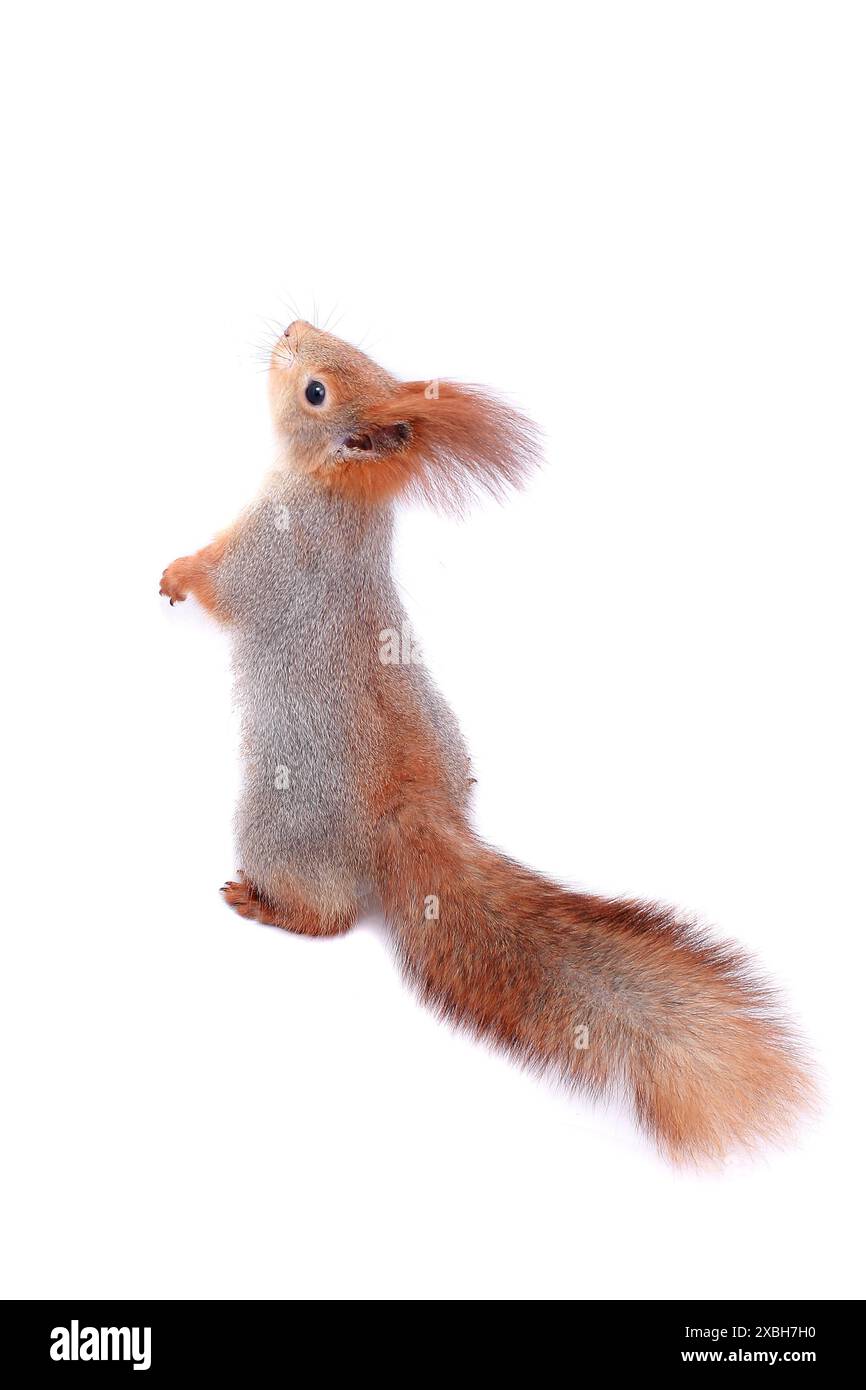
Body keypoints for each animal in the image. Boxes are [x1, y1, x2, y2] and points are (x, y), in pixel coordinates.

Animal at [161, 319, 814, 1164]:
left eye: (317, 390)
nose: (290, 330)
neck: (338, 496)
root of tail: (411, 813)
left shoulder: (269, 555)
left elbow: (221, 584)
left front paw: (178, 573)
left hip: (279, 823)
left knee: (329, 918)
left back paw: (263, 902)